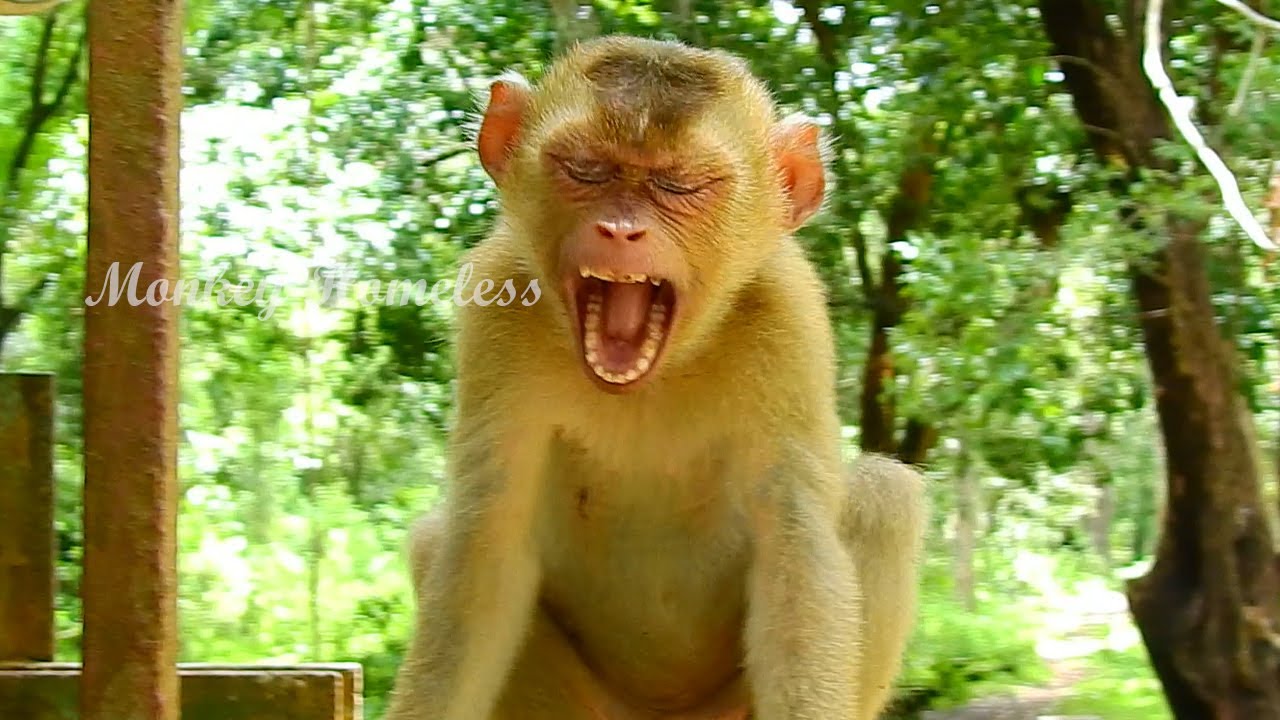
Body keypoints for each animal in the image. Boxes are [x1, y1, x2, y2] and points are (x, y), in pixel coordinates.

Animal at [386, 35, 927, 720]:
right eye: (586, 169)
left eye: (681, 184)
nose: (620, 230)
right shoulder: (497, 302)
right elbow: (486, 551)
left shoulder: (787, 316)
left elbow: (795, 556)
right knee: (436, 540)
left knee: (888, 496)